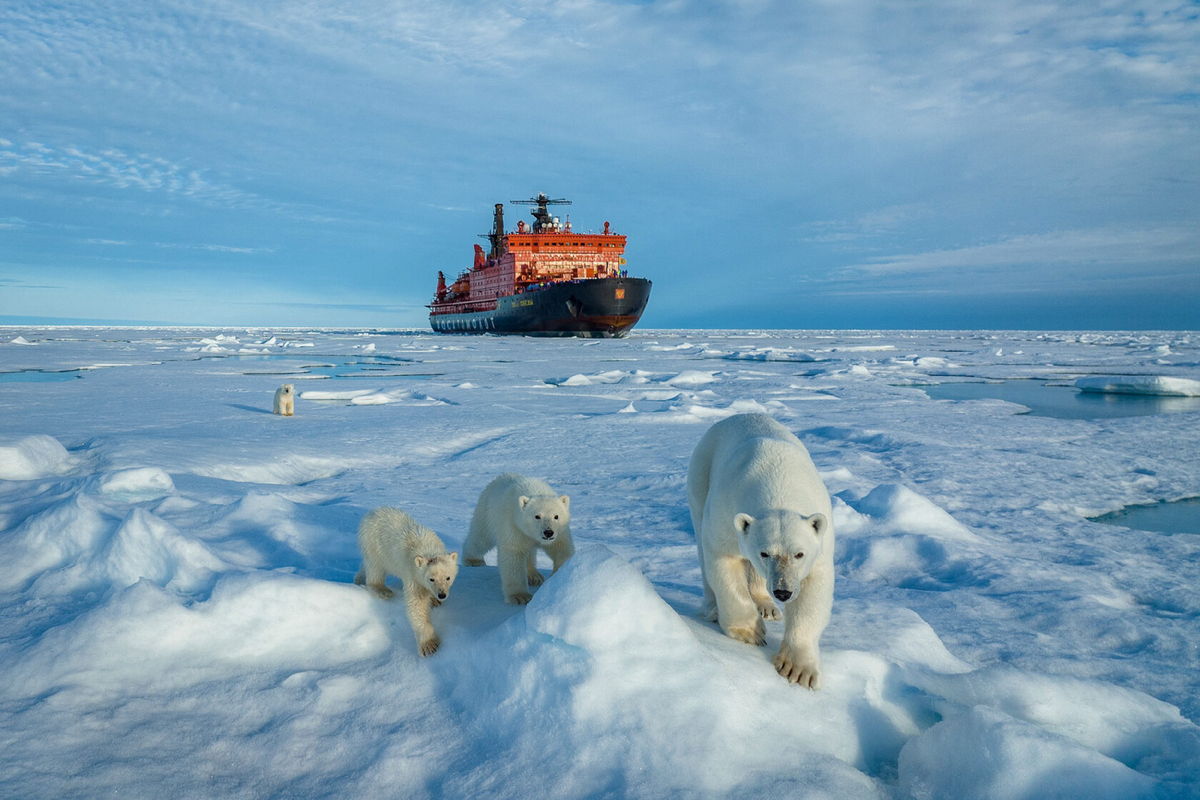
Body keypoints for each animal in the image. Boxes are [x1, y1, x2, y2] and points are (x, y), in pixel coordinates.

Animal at [352, 506, 456, 657]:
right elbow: (417, 605)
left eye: (448, 577)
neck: (427, 547)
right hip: (374, 545)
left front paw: (434, 601)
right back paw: (382, 590)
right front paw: (429, 646)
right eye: (431, 579)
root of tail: (372, 513)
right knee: (375, 568)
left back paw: (359, 578)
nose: (441, 595)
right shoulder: (412, 573)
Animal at [460, 472, 573, 604]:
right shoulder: (514, 525)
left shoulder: (560, 532)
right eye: (537, 516)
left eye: (556, 516)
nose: (548, 532)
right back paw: (474, 560)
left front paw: (558, 579)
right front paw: (520, 596)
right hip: (486, 511)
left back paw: (535, 576)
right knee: (480, 538)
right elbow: (513, 555)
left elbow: (562, 551)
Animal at [686, 412, 835, 690]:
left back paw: (767, 606)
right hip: (700, 477)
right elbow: (722, 559)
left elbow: (814, 586)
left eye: (799, 554)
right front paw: (750, 632)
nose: (783, 592)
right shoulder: (726, 509)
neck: (778, 484)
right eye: (764, 553)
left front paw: (798, 669)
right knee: (702, 545)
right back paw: (714, 609)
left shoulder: (820, 539)